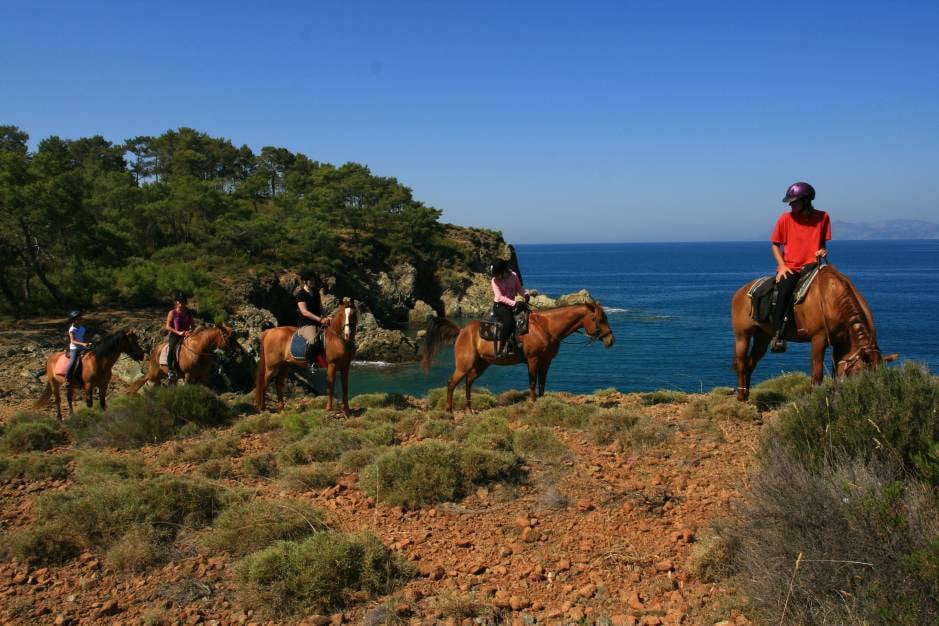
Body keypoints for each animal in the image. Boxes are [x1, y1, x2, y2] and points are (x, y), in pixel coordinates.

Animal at [421, 301, 615, 412]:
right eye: (599, 319)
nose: (611, 340)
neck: (546, 328)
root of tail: (462, 330)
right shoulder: (533, 360)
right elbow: (532, 382)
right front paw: (532, 402)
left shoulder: (546, 362)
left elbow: (542, 383)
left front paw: (542, 401)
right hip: (464, 364)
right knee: (451, 383)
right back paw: (449, 412)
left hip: (481, 364)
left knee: (468, 382)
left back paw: (470, 410)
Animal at [731, 263, 897, 401]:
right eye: (859, 373)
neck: (832, 298)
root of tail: (742, 291)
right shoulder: (819, 339)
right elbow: (817, 375)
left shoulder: (841, 344)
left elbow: (836, 372)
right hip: (743, 336)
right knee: (741, 362)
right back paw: (741, 395)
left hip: (762, 337)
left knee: (750, 362)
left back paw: (746, 394)